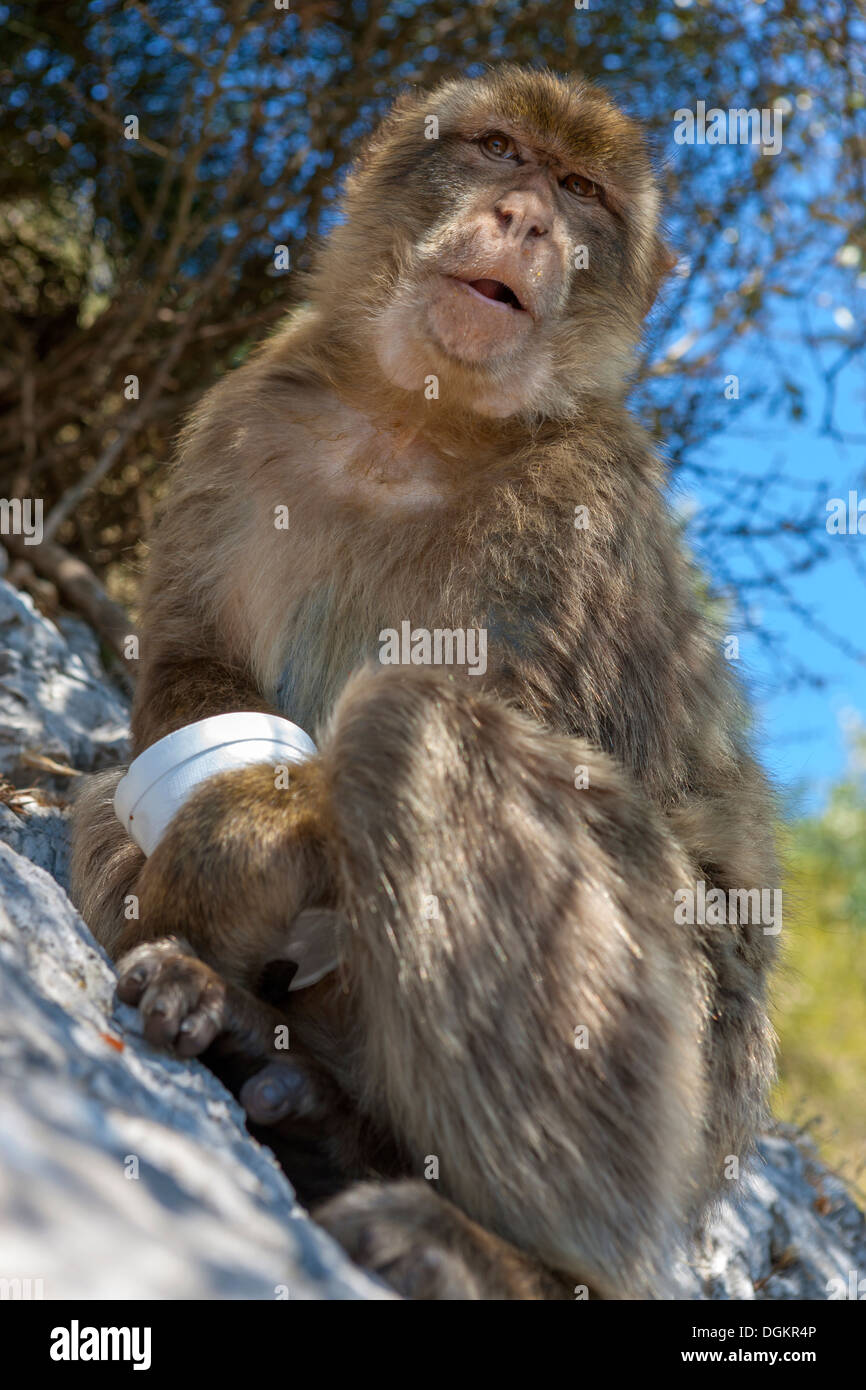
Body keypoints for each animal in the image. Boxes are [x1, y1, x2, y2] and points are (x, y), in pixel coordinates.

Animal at [70, 65, 778, 1300]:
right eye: (498, 150)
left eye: (583, 192)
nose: (529, 219)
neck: (418, 417)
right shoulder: (248, 410)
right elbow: (196, 662)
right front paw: (214, 827)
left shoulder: (580, 512)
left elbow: (549, 747)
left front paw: (238, 849)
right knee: (102, 805)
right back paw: (289, 1073)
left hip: (689, 1060)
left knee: (416, 726)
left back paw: (504, 1252)